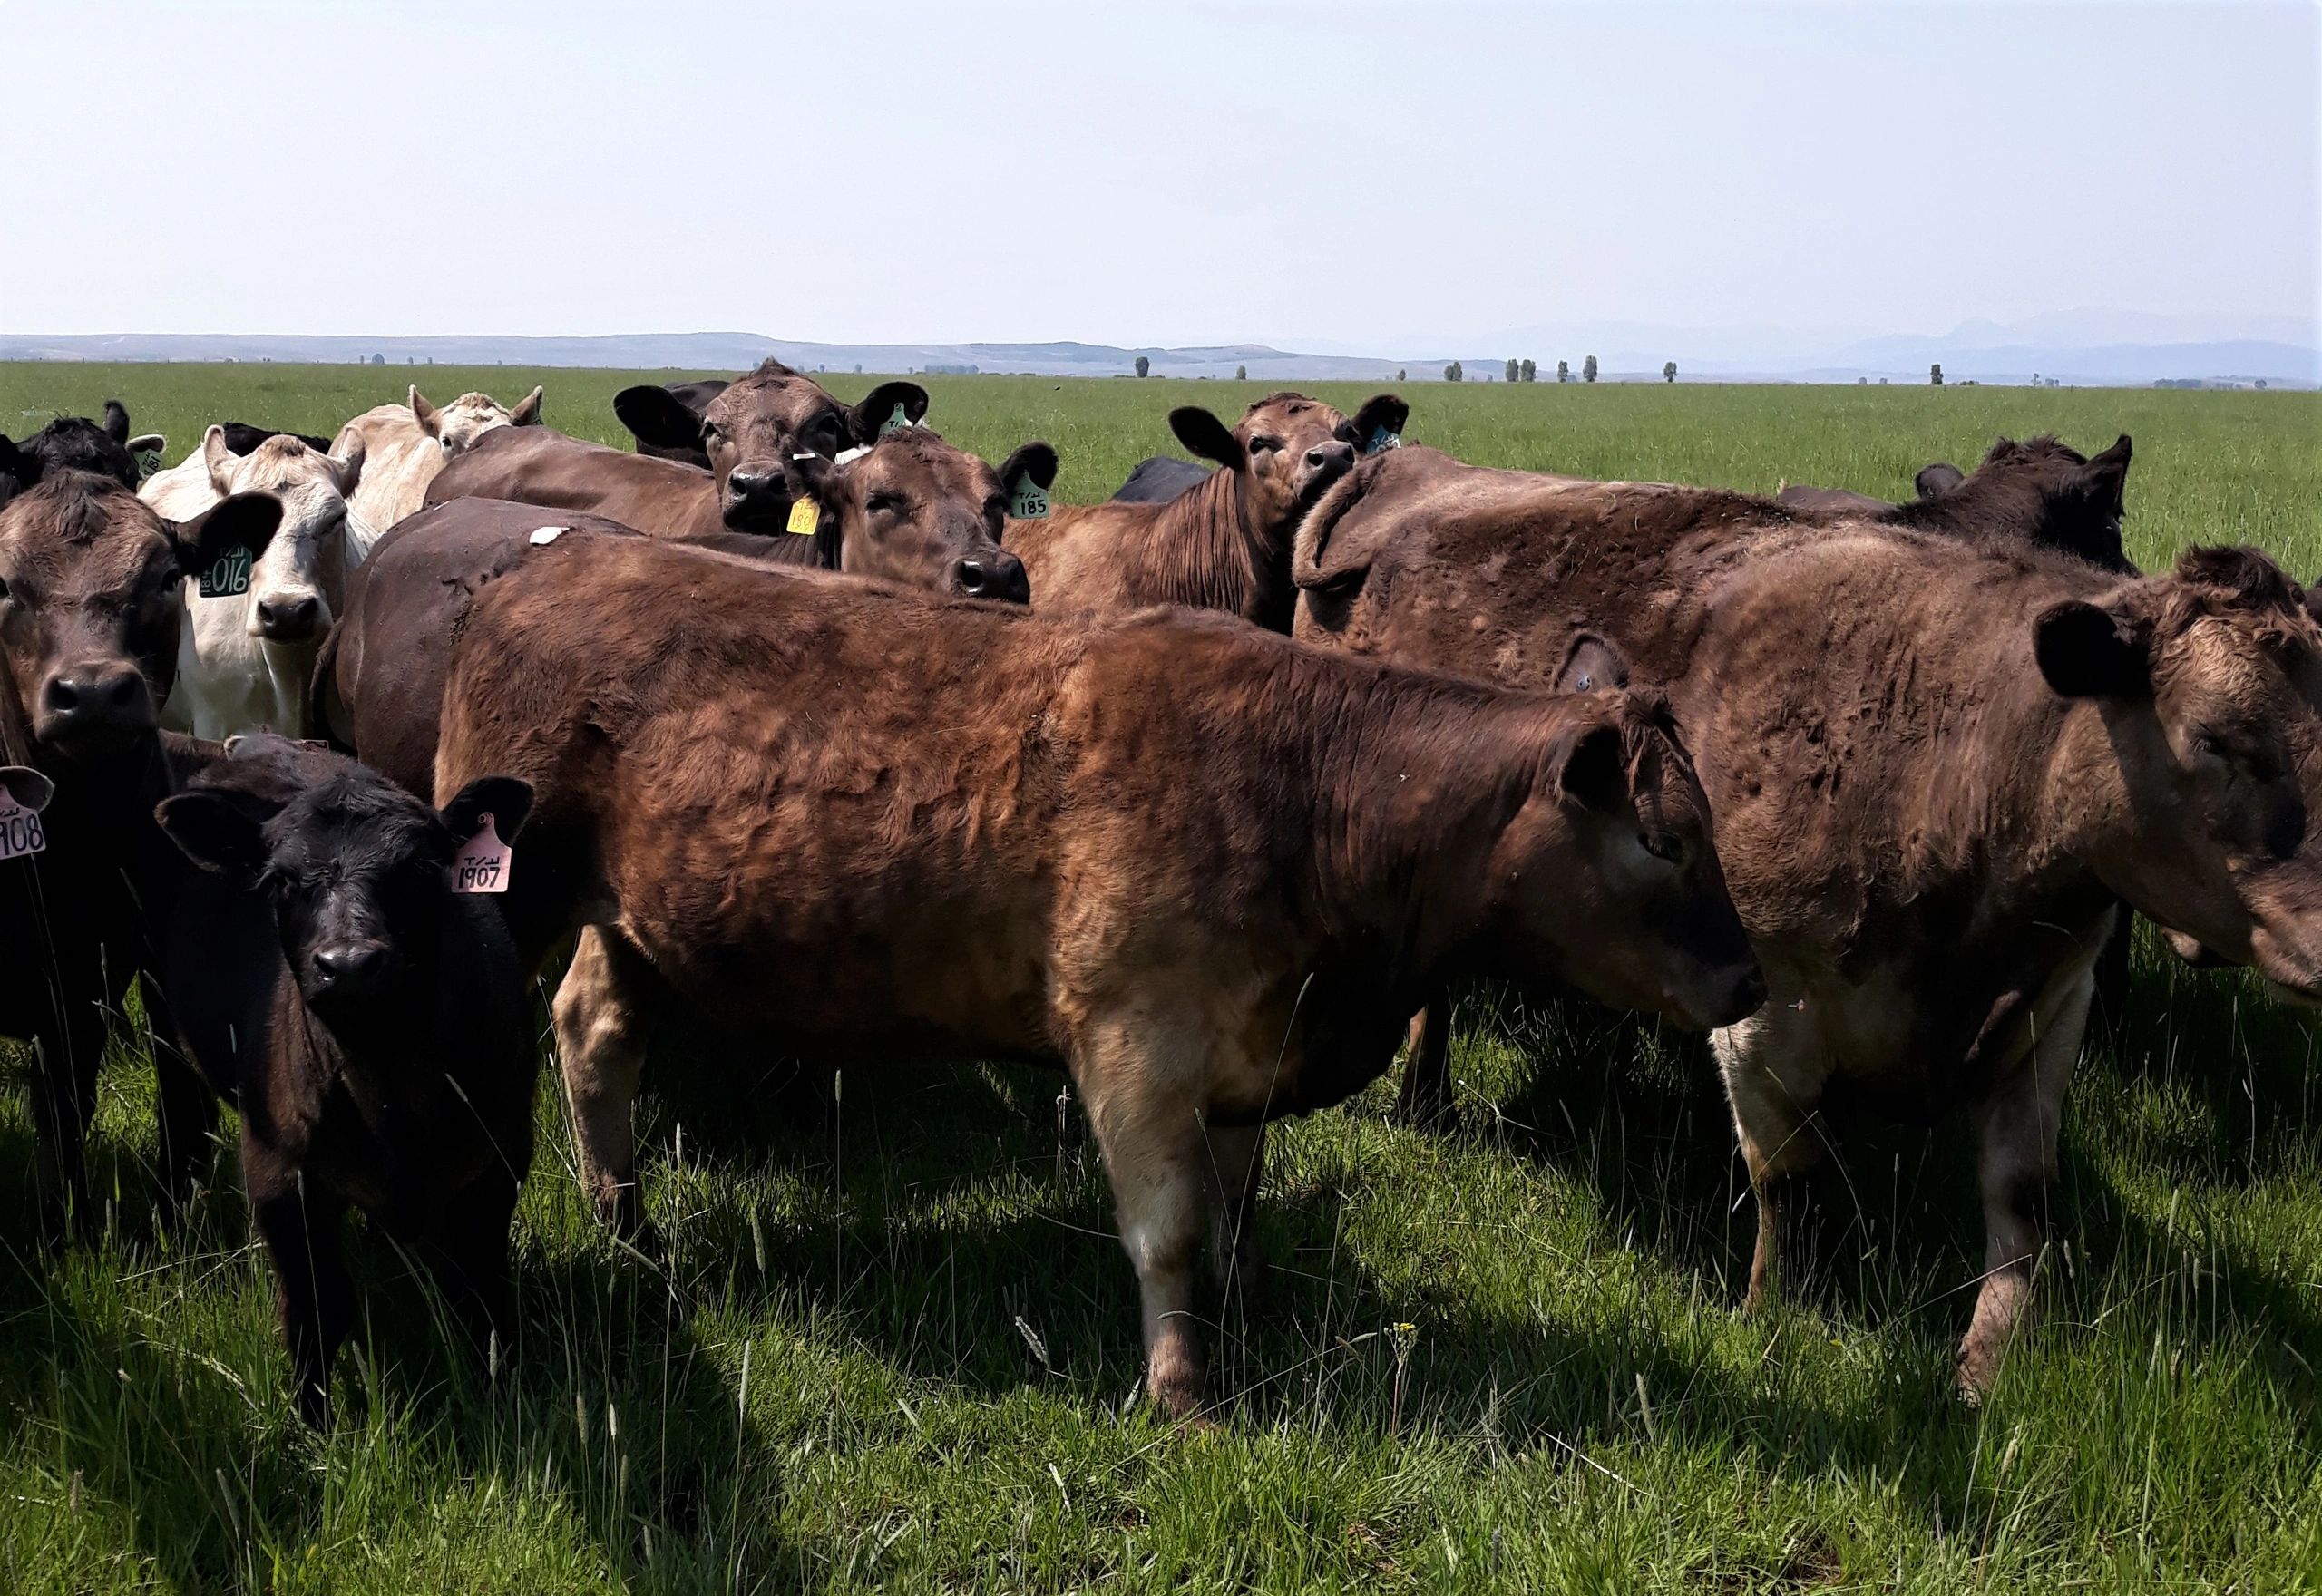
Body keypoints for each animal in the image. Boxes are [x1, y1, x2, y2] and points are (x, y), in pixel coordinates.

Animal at [154, 733, 538, 1428]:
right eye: (280, 880)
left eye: (422, 869)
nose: (350, 965)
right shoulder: (280, 1177)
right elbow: (315, 1314)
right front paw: (311, 1425)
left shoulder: (498, 1163)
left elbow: (484, 1302)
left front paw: (502, 1400)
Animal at [428, 530, 1763, 1416]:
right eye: (1663, 841)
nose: (1751, 984)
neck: (1317, 786)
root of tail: (551, 560)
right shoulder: (1134, 1044)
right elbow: (1168, 1232)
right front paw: (1182, 1393)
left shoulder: (1247, 1047)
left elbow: (1235, 1210)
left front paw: (1247, 1306)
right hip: (517, 892)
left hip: (630, 921)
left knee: (596, 1034)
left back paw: (630, 1223)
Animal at [1292, 444, 2322, 1398]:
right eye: (2216, 738)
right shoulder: (1766, 1010)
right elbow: (1785, 1177)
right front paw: (1769, 1314)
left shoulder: (2050, 1006)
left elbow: (2021, 1196)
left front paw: (1988, 1365)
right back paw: (1427, 1101)